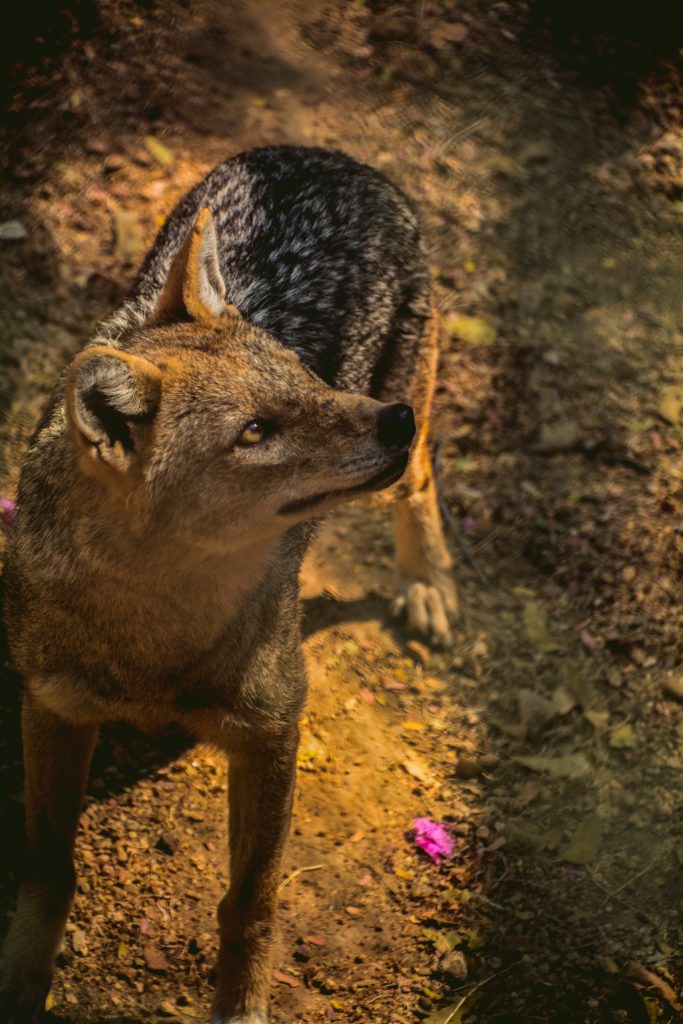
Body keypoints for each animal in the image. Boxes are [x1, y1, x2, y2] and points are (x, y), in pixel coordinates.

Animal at [0, 145, 457, 1023]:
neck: (154, 646)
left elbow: (251, 905)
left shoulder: (272, 730)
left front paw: (240, 1007)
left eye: (304, 378)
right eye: (254, 433)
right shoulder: (53, 708)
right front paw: (22, 979)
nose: (388, 420)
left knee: (419, 481)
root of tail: (328, 157)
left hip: (403, 433)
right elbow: (46, 872)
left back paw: (426, 588)